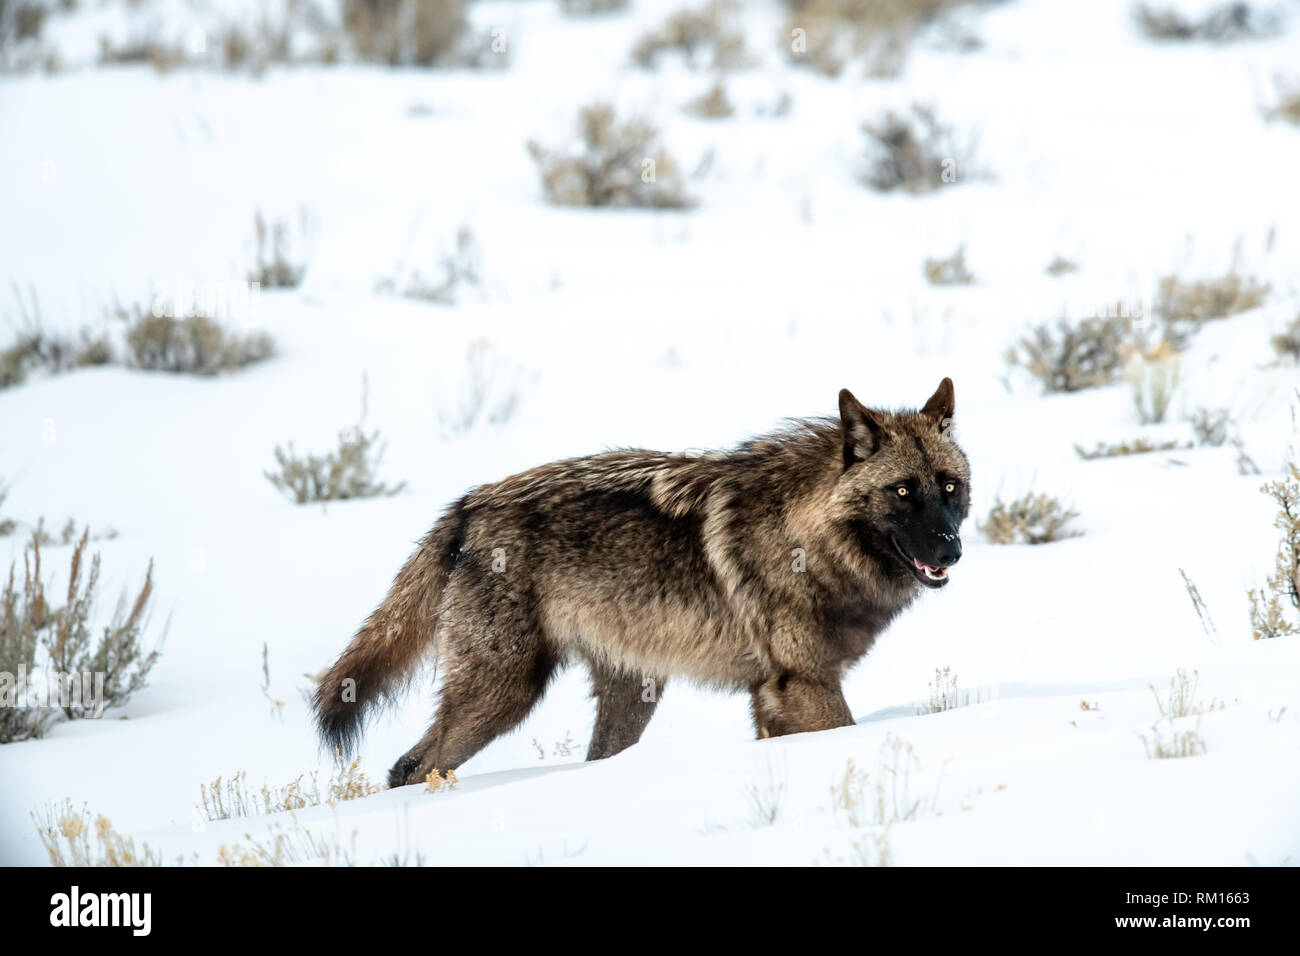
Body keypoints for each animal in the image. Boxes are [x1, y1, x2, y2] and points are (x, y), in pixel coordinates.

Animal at [313, 379, 970, 787]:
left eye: (949, 487)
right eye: (903, 491)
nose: (952, 550)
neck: (807, 535)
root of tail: (467, 507)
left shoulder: (768, 694)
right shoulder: (805, 684)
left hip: (630, 697)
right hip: (502, 693)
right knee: (410, 768)